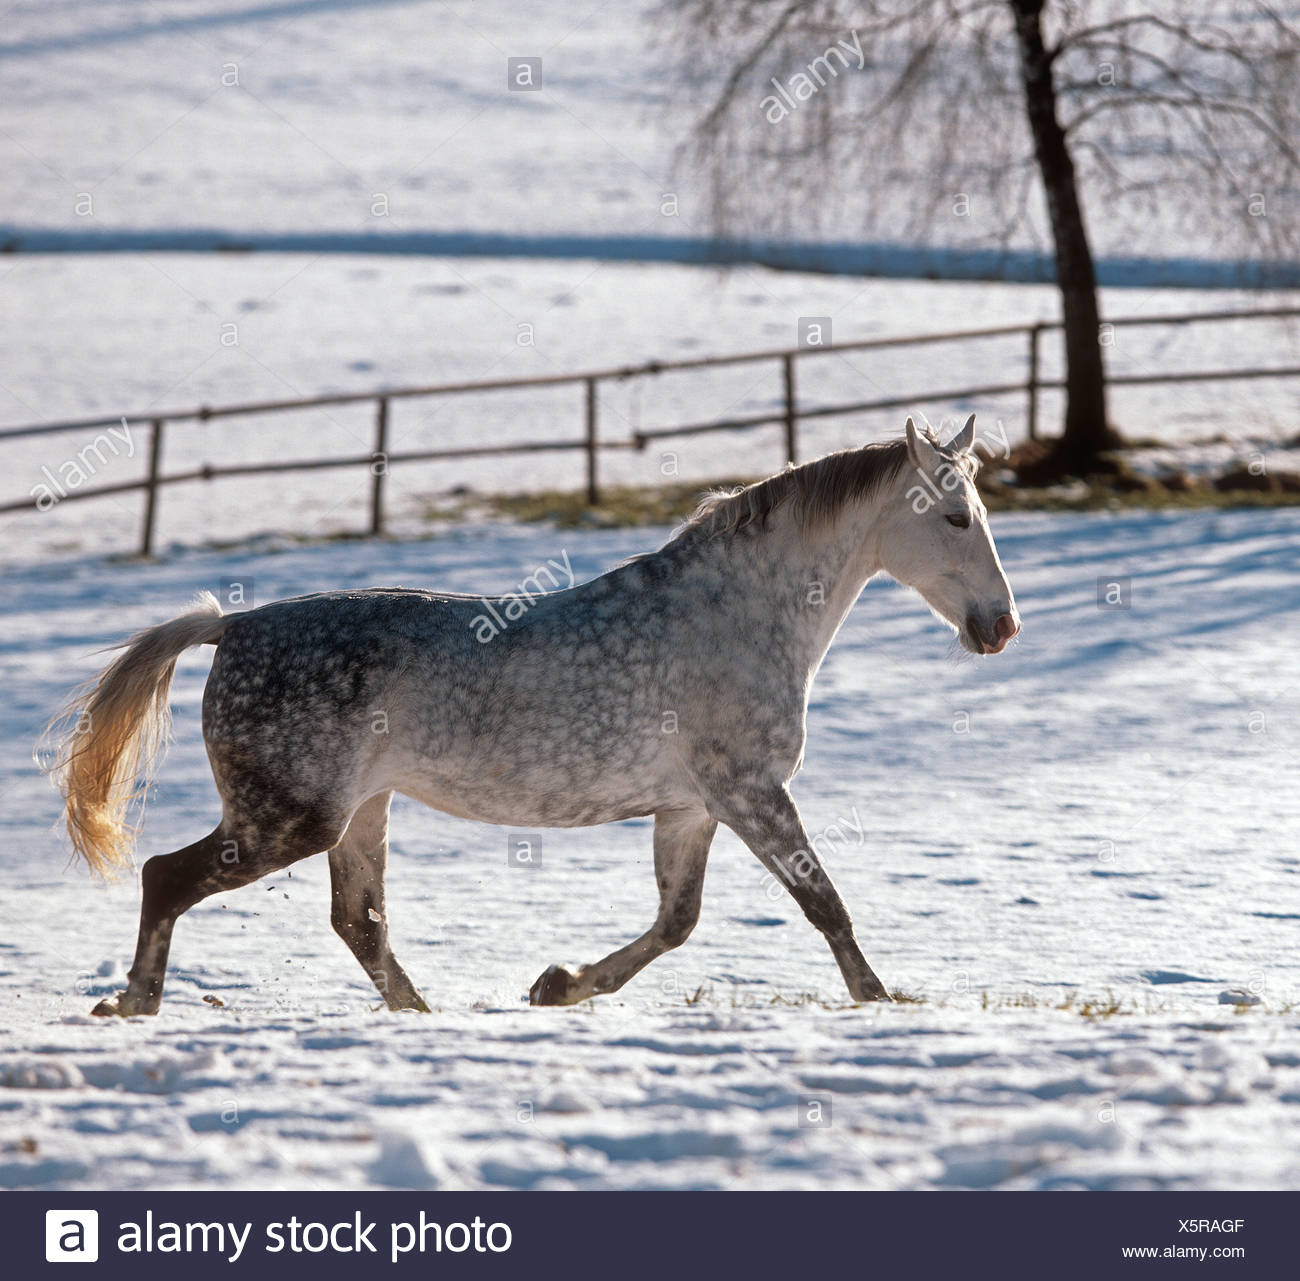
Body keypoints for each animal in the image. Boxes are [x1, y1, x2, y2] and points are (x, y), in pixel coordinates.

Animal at [43, 415, 1019, 1016]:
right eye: (956, 516)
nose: (1000, 625)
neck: (736, 614)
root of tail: (232, 625)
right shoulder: (749, 790)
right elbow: (824, 903)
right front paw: (879, 999)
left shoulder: (691, 807)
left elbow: (678, 920)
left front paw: (559, 983)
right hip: (291, 816)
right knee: (168, 877)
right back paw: (133, 1003)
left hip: (359, 812)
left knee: (358, 921)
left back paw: (421, 1014)